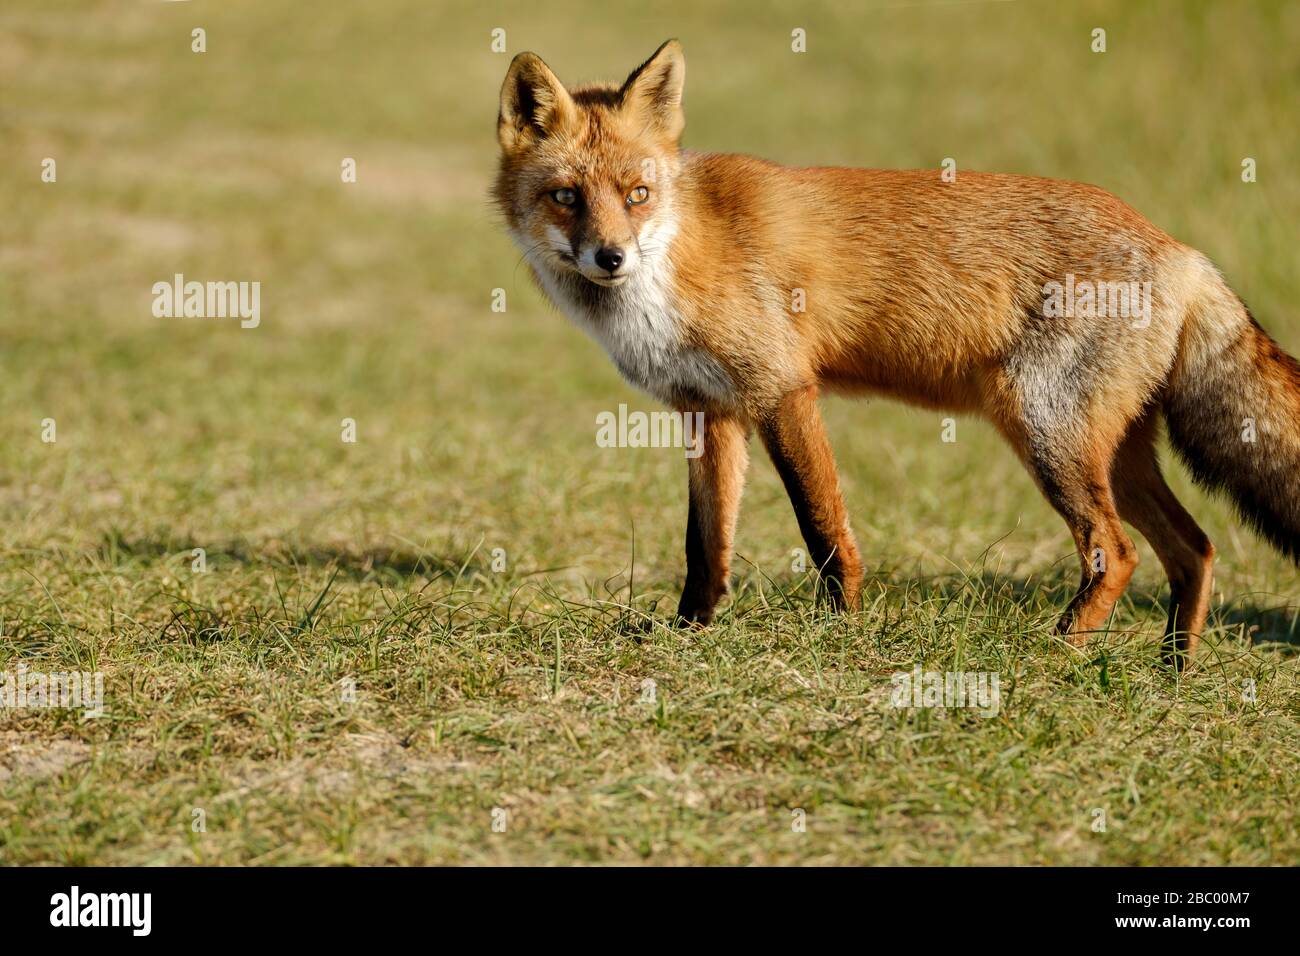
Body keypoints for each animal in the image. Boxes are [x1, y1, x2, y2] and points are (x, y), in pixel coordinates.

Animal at [494, 39, 1300, 667]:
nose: (610, 258)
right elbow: (706, 547)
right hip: (1114, 454)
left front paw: (840, 634)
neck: (681, 257)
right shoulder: (710, 413)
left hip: (1049, 434)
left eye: (636, 193)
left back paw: (1057, 652)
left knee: (1119, 552)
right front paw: (688, 635)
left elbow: (823, 529)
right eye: (567, 197)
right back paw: (1173, 669)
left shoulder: (783, 390)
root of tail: (1182, 250)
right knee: (1194, 547)